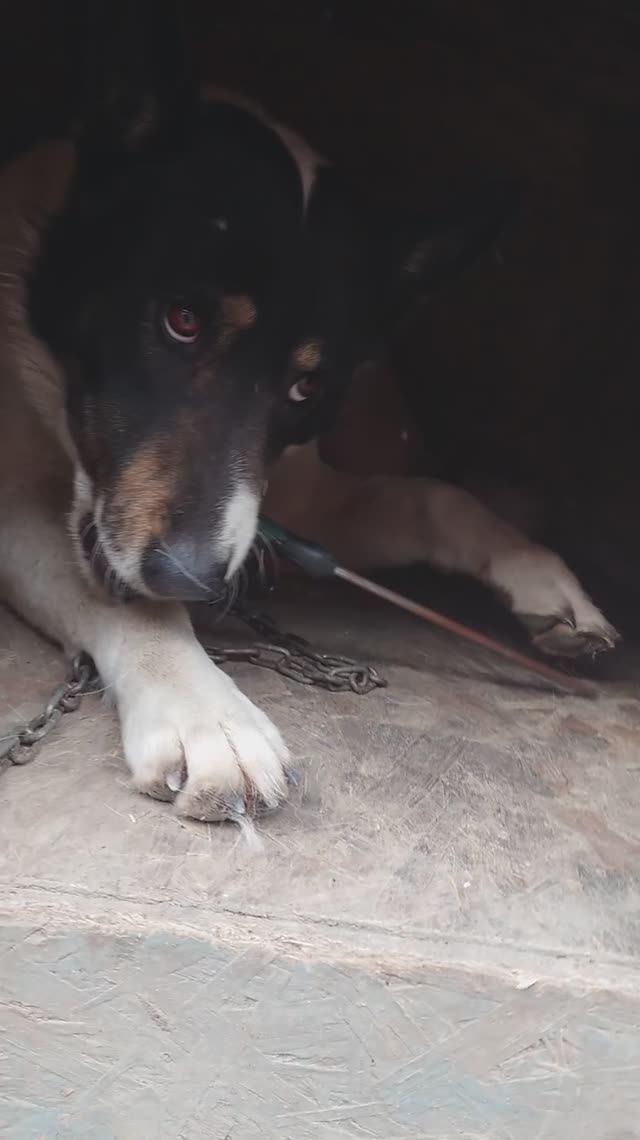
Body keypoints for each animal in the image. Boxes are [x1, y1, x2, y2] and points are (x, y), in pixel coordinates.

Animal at [0, 73, 618, 822]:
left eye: (305, 385)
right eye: (182, 320)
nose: (193, 580)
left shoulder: (300, 505)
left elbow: (436, 500)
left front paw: (541, 574)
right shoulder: (26, 511)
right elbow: (132, 604)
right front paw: (203, 710)